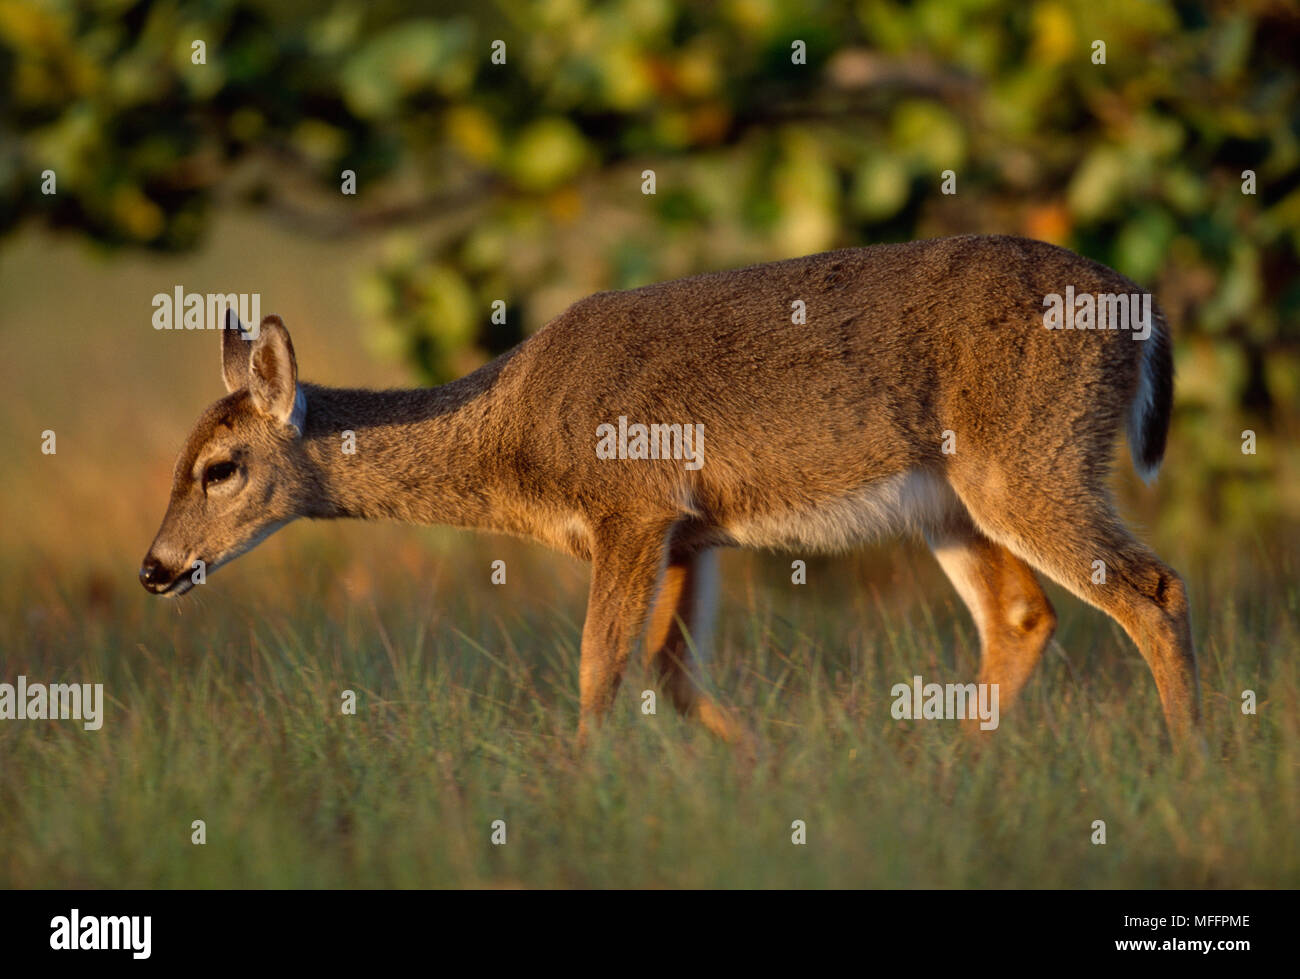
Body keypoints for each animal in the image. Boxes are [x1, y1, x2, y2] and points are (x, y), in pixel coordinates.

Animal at [140, 234, 1200, 748]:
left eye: (220, 466)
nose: (154, 567)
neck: (514, 436)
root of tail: (1141, 308)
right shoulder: (693, 535)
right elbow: (671, 672)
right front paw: (771, 771)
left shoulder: (633, 507)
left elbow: (598, 667)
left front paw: (573, 793)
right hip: (953, 501)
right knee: (1021, 617)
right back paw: (941, 775)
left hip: (1026, 461)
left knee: (1153, 588)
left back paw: (1191, 765)